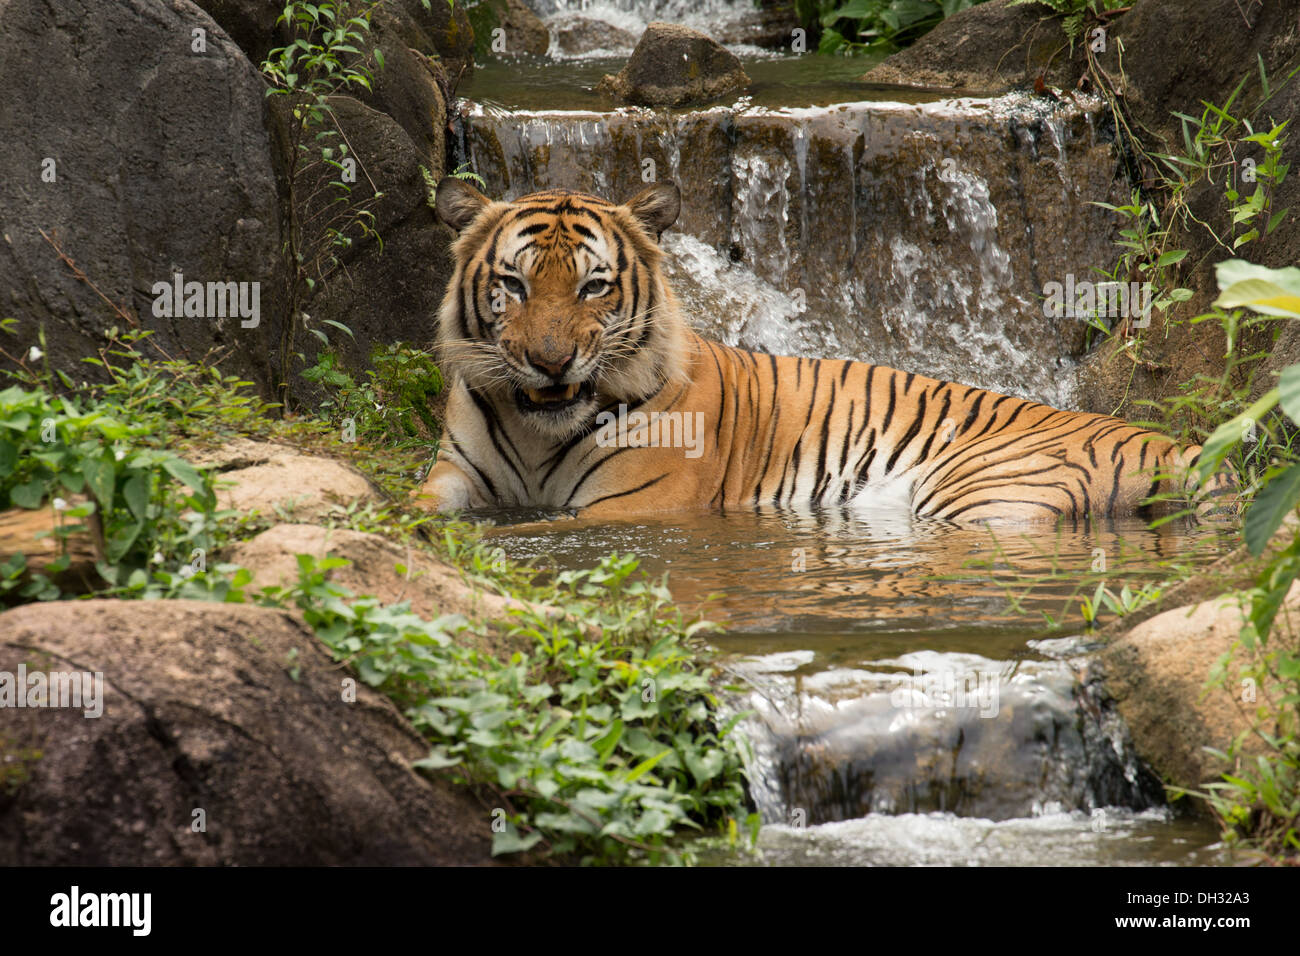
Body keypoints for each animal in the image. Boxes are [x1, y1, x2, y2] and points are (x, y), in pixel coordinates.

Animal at [413, 177, 1221, 524]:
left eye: (593, 287)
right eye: (513, 285)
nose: (550, 363)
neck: (536, 428)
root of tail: (1182, 445)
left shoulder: (634, 504)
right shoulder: (455, 472)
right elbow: (419, 507)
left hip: (983, 492)